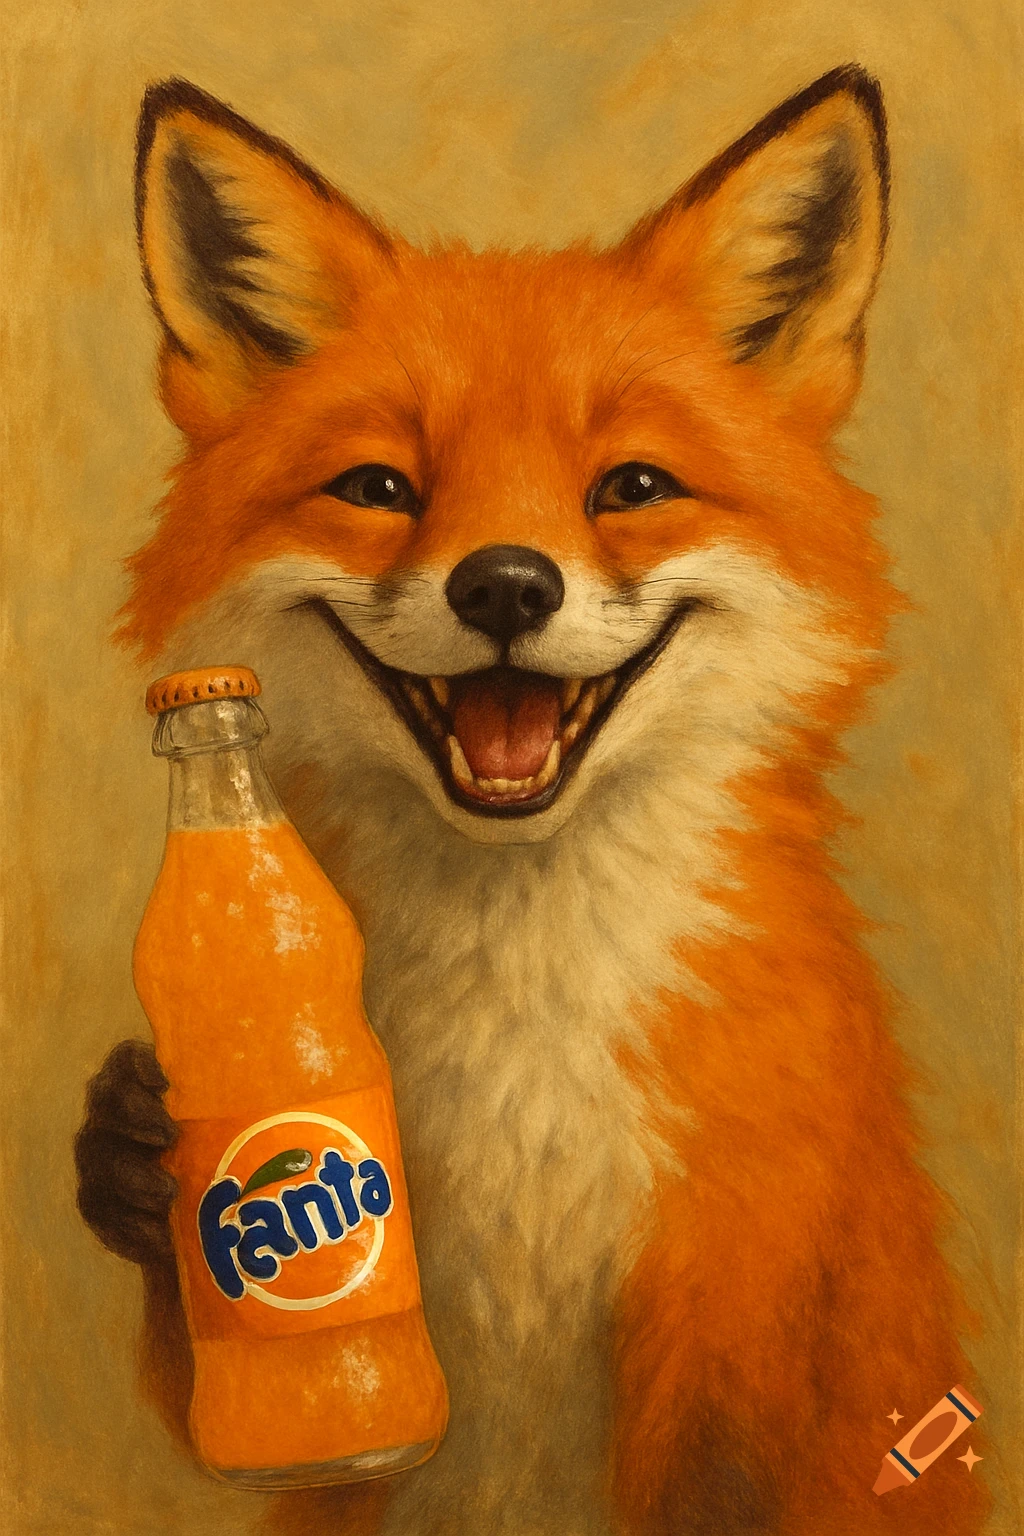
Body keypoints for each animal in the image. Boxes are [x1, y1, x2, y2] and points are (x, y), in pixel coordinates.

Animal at [74, 66, 990, 1536]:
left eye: (631, 487)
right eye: (380, 489)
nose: (505, 582)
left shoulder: (774, 1349)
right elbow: (243, 1389)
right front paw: (133, 1157)